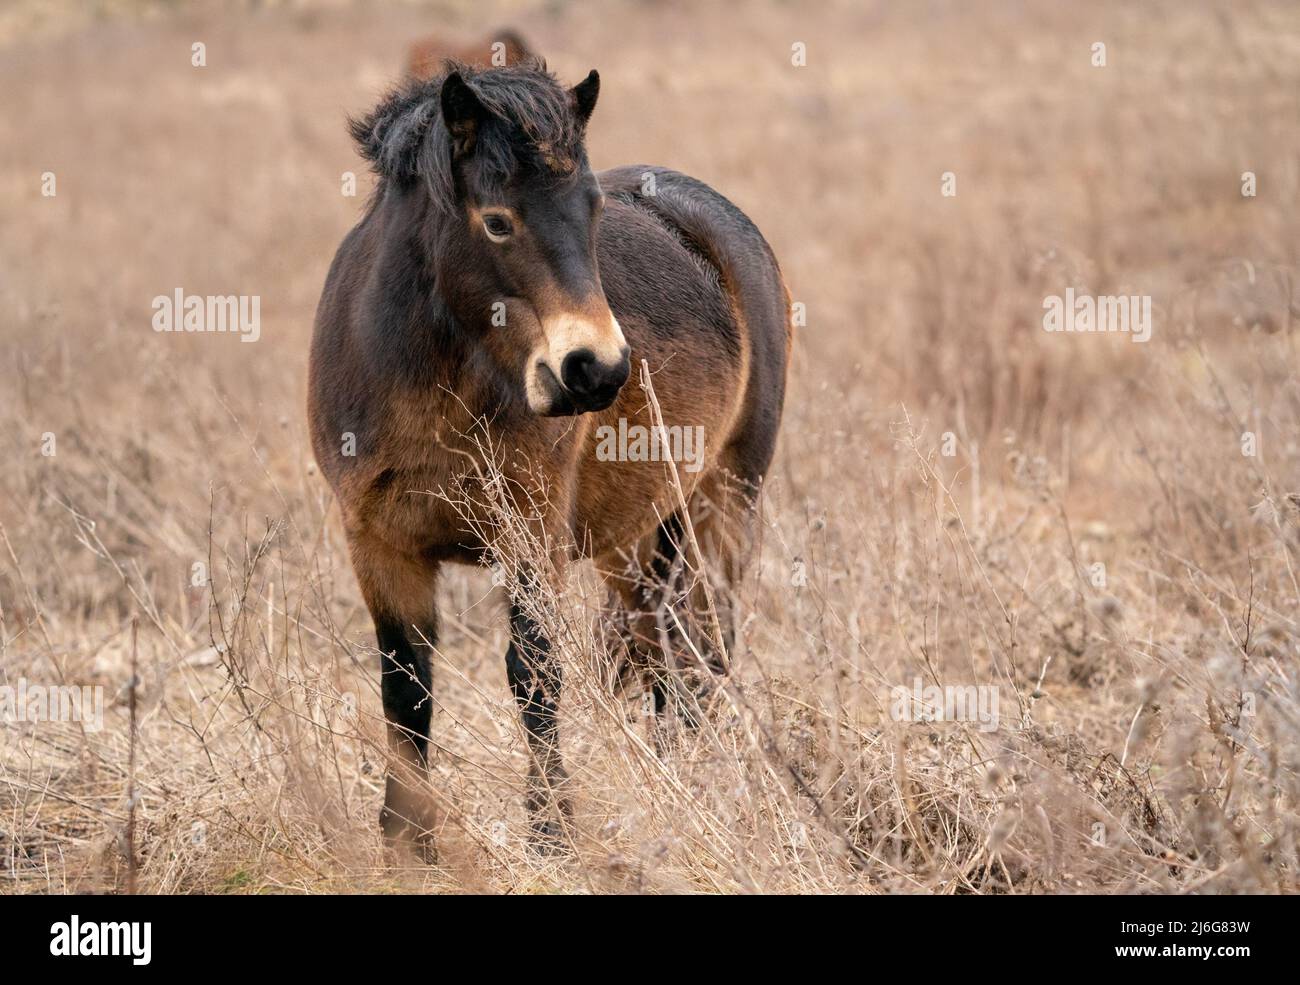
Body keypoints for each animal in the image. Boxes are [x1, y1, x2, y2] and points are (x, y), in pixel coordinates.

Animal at [308, 59, 791, 857]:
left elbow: (532, 674)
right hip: (637, 537)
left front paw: (551, 832)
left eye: (591, 211)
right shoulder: (377, 544)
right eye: (497, 220)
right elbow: (407, 689)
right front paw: (407, 841)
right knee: (661, 647)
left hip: (726, 501)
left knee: (705, 648)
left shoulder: (530, 533)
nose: (596, 370)